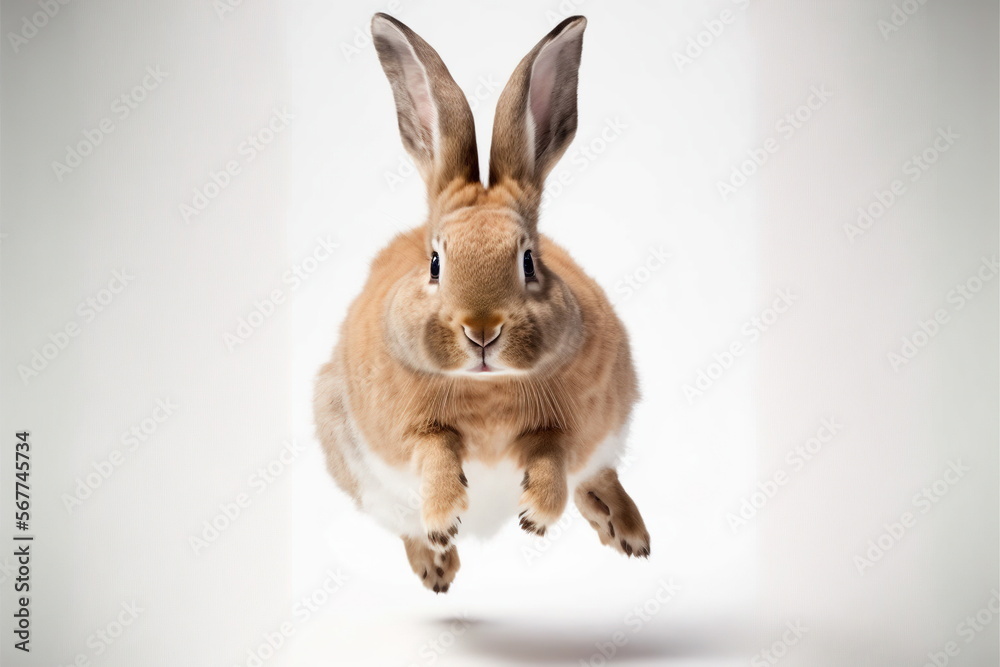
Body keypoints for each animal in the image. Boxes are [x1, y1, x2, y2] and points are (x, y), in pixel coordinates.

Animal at [314, 13, 650, 593]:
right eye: (434, 263)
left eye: (529, 261)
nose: (482, 331)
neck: (488, 389)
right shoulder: (413, 434)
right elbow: (435, 453)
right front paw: (445, 518)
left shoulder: (570, 427)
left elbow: (554, 455)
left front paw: (535, 516)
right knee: (405, 526)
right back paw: (437, 566)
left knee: (597, 474)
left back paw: (628, 532)